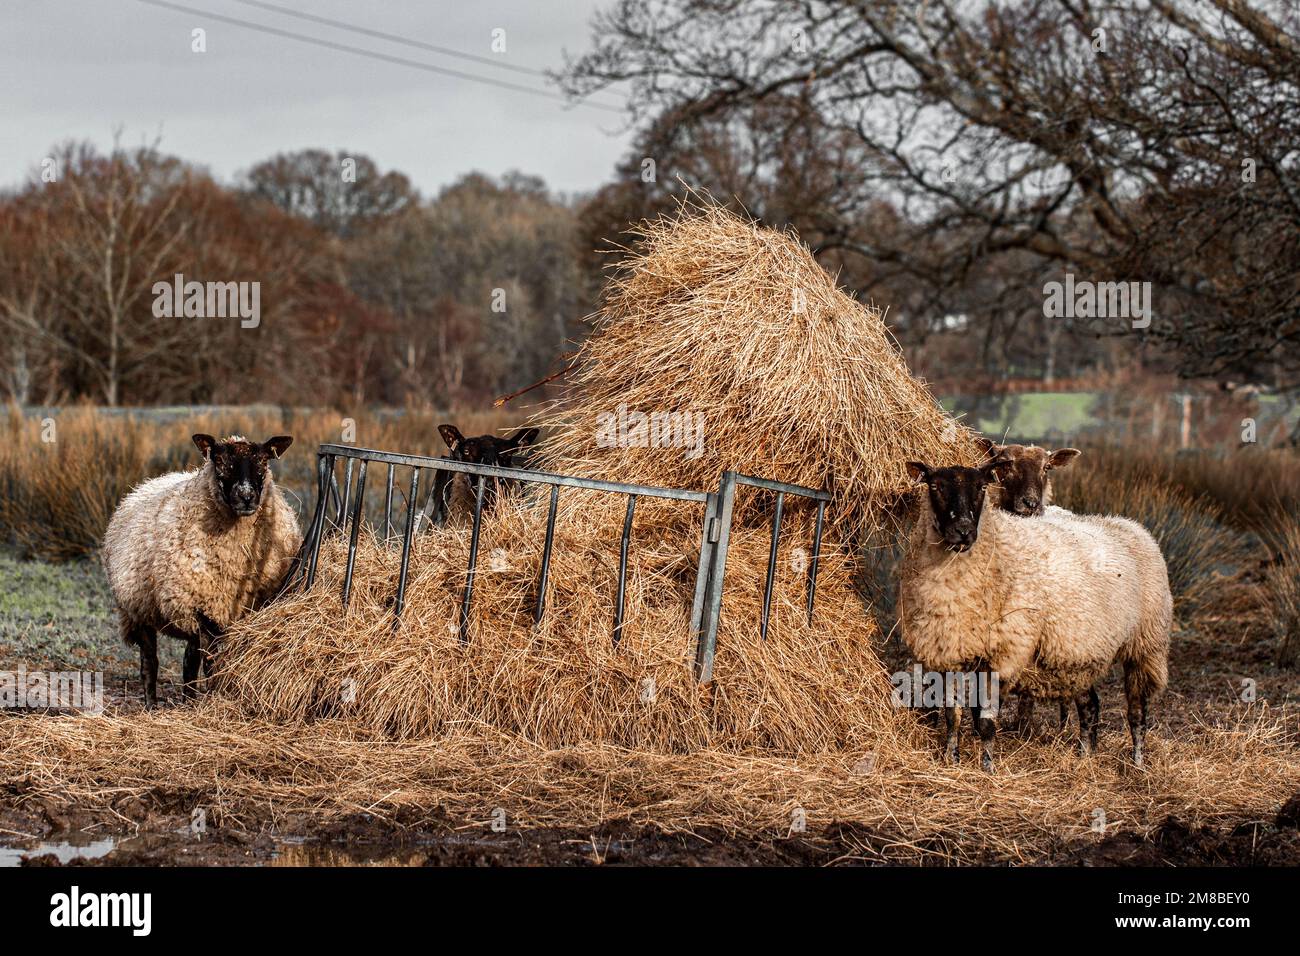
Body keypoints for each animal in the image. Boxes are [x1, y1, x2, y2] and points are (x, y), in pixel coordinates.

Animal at [102, 434, 302, 707]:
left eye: (263, 461)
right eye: (218, 460)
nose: (246, 496)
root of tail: (143, 486)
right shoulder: (202, 608)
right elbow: (210, 663)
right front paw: (214, 697)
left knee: (188, 661)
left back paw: (188, 700)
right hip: (140, 611)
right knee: (150, 663)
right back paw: (151, 705)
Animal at [898, 459, 1171, 770]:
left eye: (982, 487)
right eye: (934, 486)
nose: (964, 530)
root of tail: (1133, 525)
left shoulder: (1003, 653)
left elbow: (986, 723)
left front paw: (988, 768)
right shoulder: (948, 649)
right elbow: (951, 715)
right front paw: (950, 759)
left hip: (1146, 644)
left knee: (1137, 711)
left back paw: (1137, 762)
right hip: (1079, 653)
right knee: (1090, 706)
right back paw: (1083, 756)